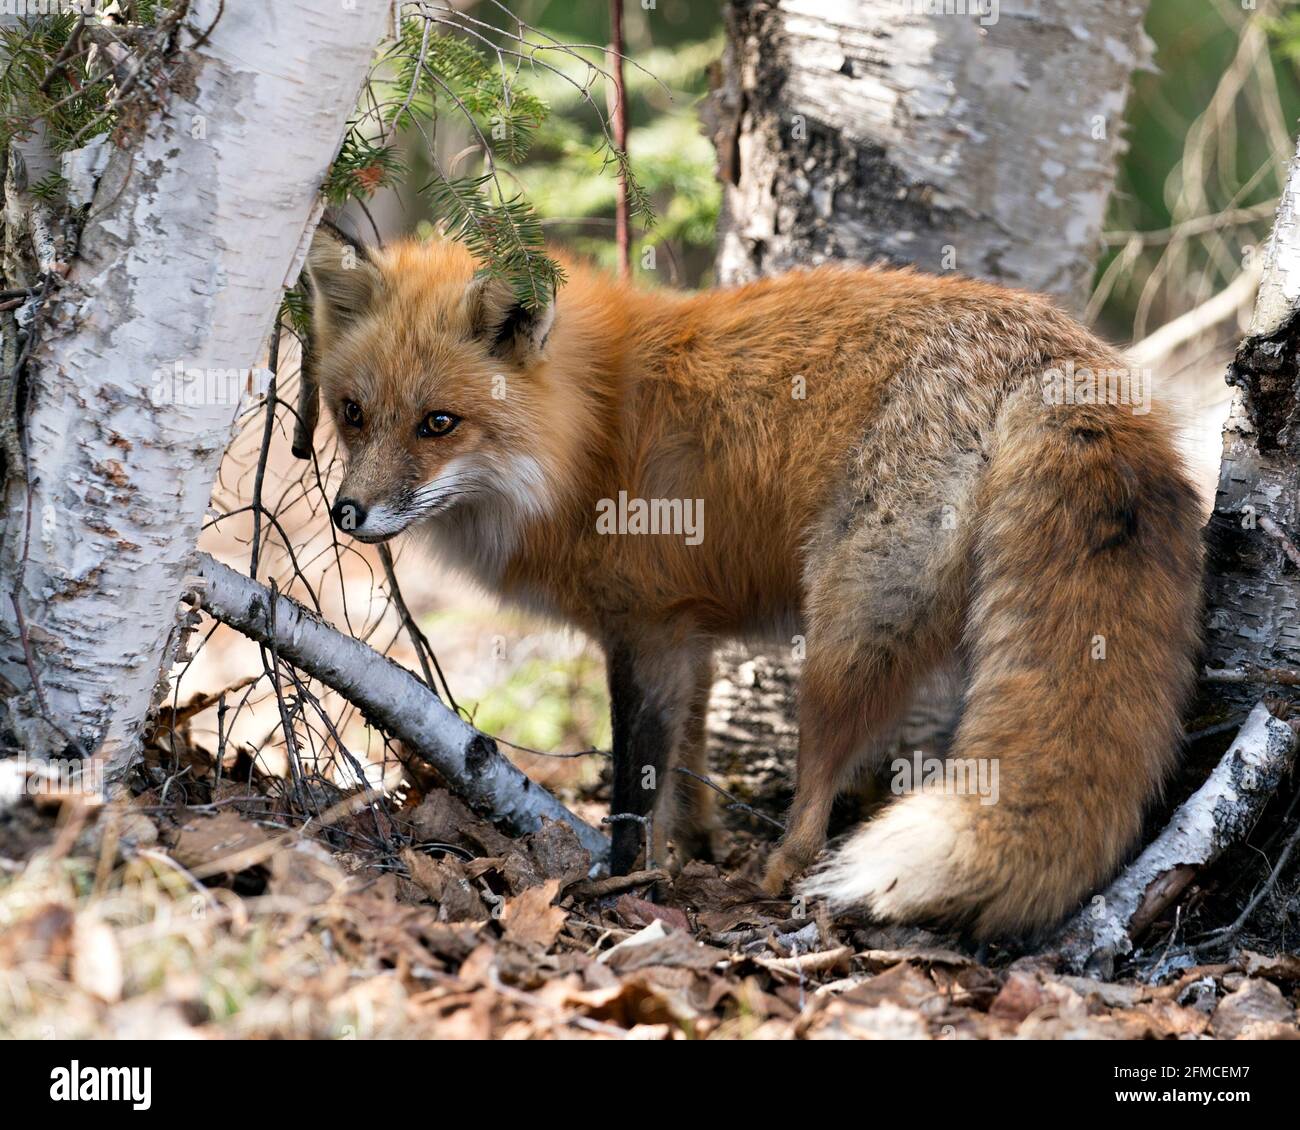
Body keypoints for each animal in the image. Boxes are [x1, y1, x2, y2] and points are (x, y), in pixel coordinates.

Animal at [304, 227, 1203, 939]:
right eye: (352, 412)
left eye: (439, 424)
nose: (349, 513)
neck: (591, 434)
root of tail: (1060, 353)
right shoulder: (687, 631)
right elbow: (689, 762)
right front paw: (693, 849)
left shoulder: (648, 633)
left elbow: (637, 783)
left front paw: (624, 879)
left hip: (847, 629)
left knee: (821, 785)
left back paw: (780, 877)